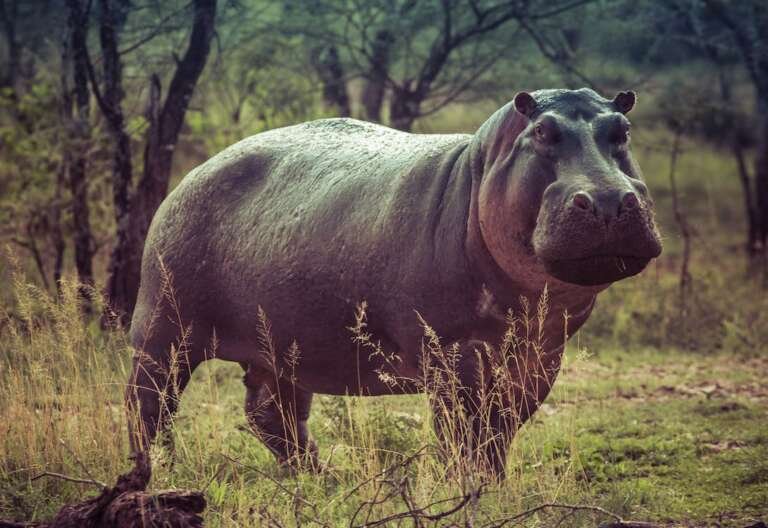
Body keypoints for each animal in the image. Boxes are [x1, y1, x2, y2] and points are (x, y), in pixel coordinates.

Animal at [126, 88, 662, 475]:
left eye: (623, 130)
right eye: (543, 131)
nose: (609, 199)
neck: (480, 170)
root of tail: (197, 169)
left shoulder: (539, 356)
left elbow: (498, 434)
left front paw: (492, 485)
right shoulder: (453, 355)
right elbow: (461, 435)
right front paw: (464, 490)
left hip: (280, 346)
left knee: (272, 414)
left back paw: (322, 479)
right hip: (163, 327)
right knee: (148, 403)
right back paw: (156, 473)